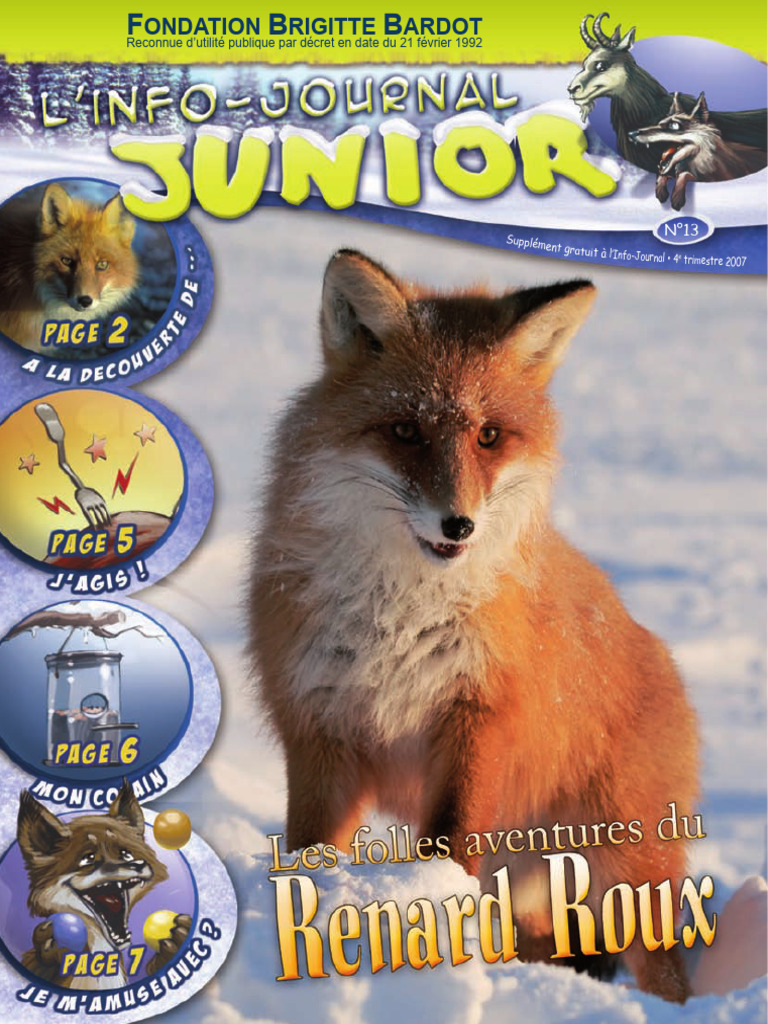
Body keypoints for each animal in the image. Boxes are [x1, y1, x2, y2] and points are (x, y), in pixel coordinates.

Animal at [249, 250, 700, 1002]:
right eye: (405, 431)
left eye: (489, 436)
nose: (457, 524)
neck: (399, 615)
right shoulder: (318, 727)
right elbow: (311, 852)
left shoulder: (474, 720)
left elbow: (449, 840)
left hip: (625, 871)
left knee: (667, 971)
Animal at [629, 92, 768, 210]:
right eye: (659, 123)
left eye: (674, 125)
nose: (631, 133)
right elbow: (663, 174)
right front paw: (661, 190)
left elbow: (684, 175)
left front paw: (677, 197)